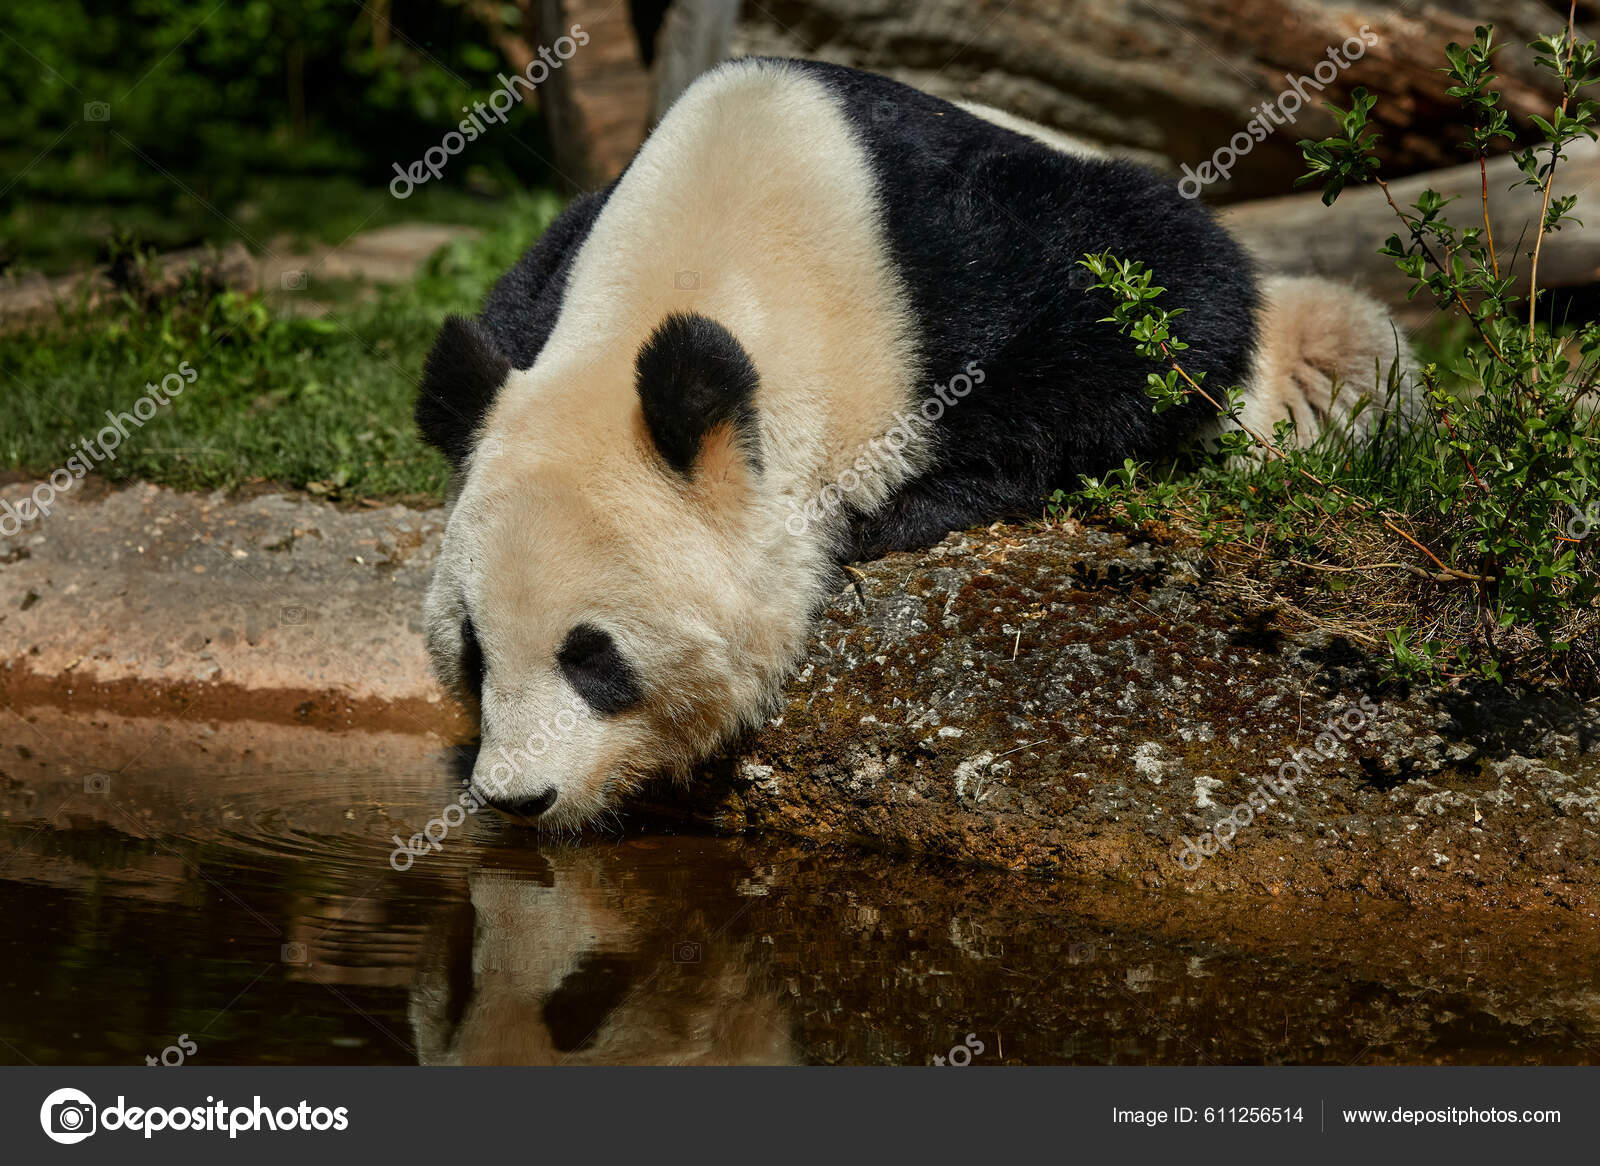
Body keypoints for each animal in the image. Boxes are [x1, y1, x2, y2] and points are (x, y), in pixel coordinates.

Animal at [416, 56, 1411, 828]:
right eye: (472, 651)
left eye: (594, 658)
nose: (517, 798)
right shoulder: (556, 274)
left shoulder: (933, 261)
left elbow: (1169, 292)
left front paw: (906, 506)